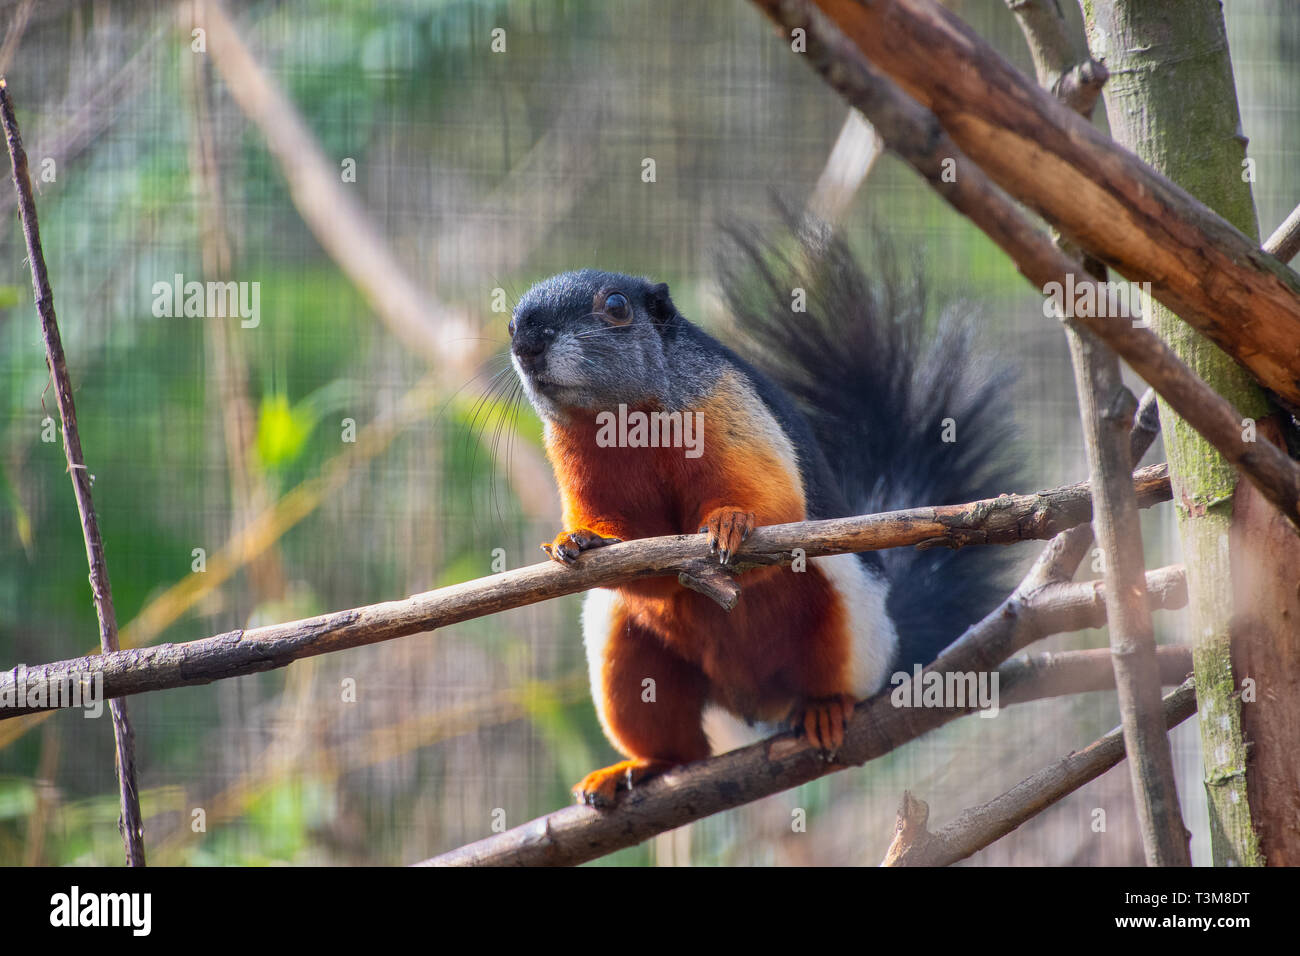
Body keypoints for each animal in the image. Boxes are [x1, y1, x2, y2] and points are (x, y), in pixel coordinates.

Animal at [509, 225, 1016, 807]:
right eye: (510, 323)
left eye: (615, 307)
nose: (526, 345)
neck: (623, 420)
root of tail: (752, 701)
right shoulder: (576, 461)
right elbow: (644, 568)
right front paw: (578, 538)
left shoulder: (730, 408)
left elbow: (774, 507)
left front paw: (731, 522)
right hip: (628, 658)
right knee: (682, 747)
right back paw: (635, 768)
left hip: (850, 623)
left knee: (838, 675)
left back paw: (825, 709)